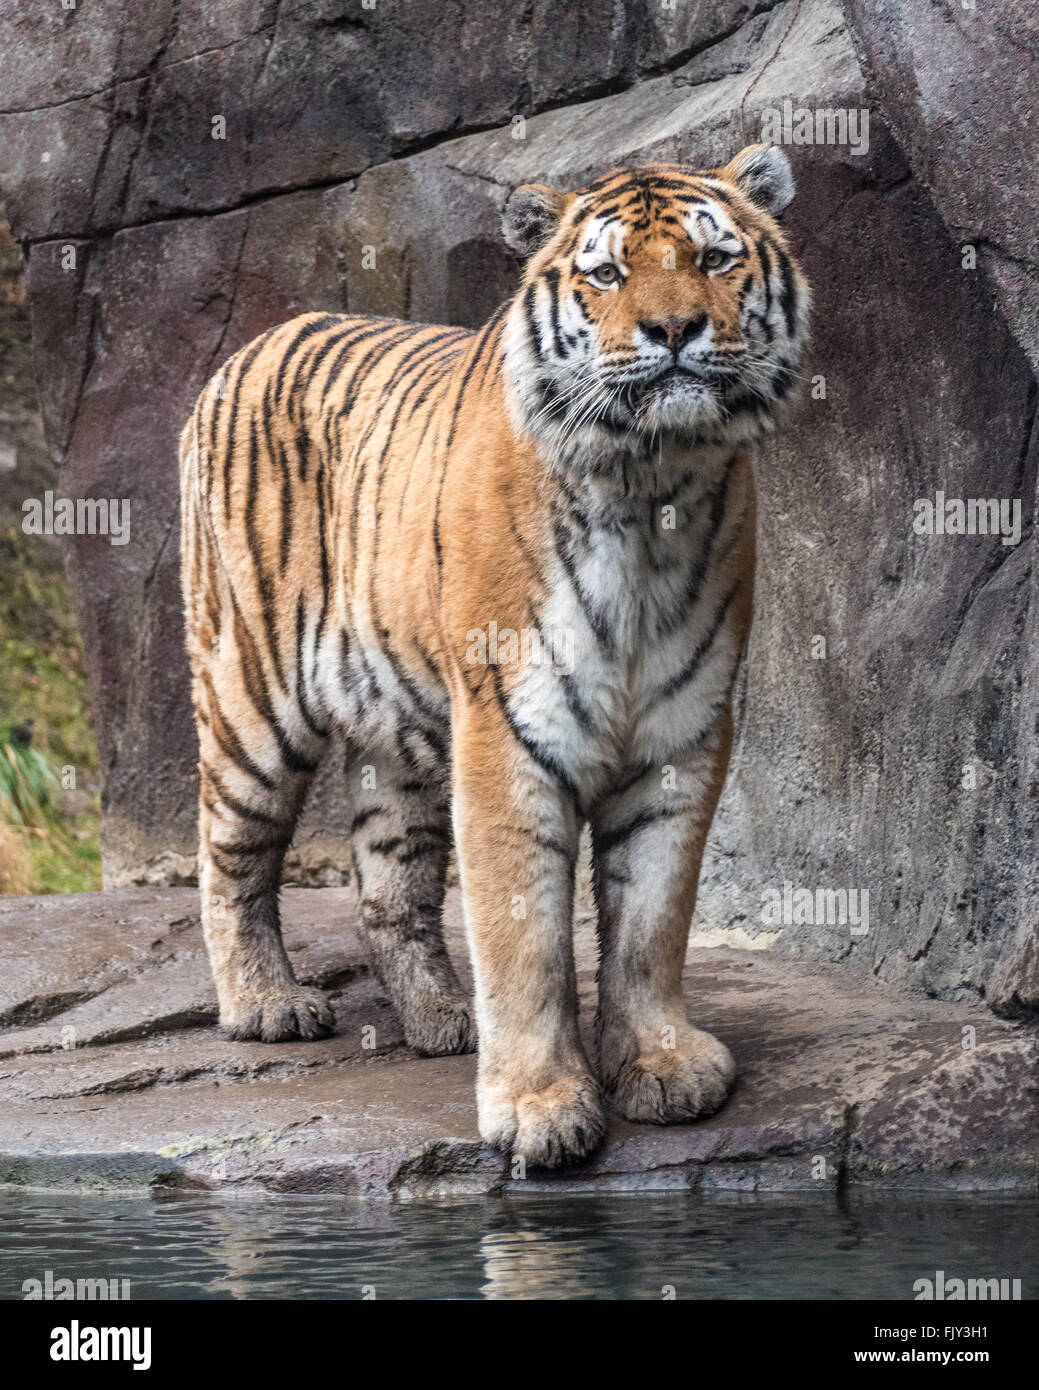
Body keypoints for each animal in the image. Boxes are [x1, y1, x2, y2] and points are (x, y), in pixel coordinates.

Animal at [179, 143, 809, 1169]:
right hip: (252, 697)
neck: (651, 485)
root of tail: (255, 341)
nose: (675, 329)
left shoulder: (680, 737)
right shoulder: (508, 735)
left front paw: (662, 1064)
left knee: (387, 887)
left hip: (396, 735)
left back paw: (441, 1017)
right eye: (607, 275)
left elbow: (651, 920)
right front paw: (539, 1107)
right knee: (230, 853)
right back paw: (265, 1005)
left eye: (715, 261)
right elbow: (525, 936)